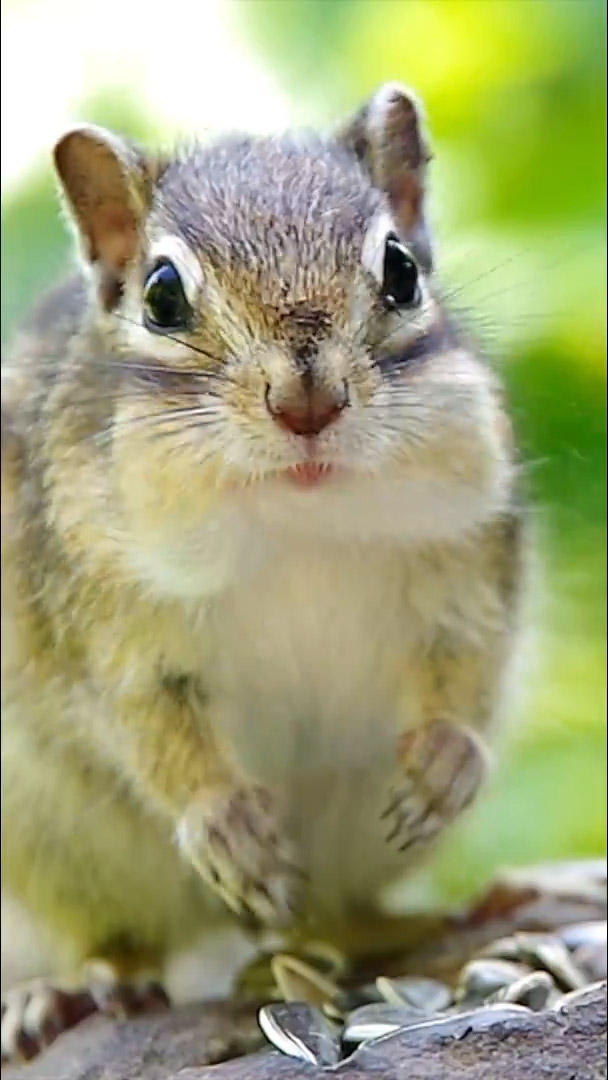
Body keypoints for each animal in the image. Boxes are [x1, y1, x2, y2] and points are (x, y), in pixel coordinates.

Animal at [0, 83, 524, 1062]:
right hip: (49, 837)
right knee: (118, 938)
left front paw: (446, 761)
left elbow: (465, 667)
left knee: (337, 917)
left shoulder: (467, 573)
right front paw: (228, 824)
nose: (306, 401)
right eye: (162, 294)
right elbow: (149, 723)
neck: (296, 516)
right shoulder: (110, 622)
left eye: (402, 270)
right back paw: (75, 990)